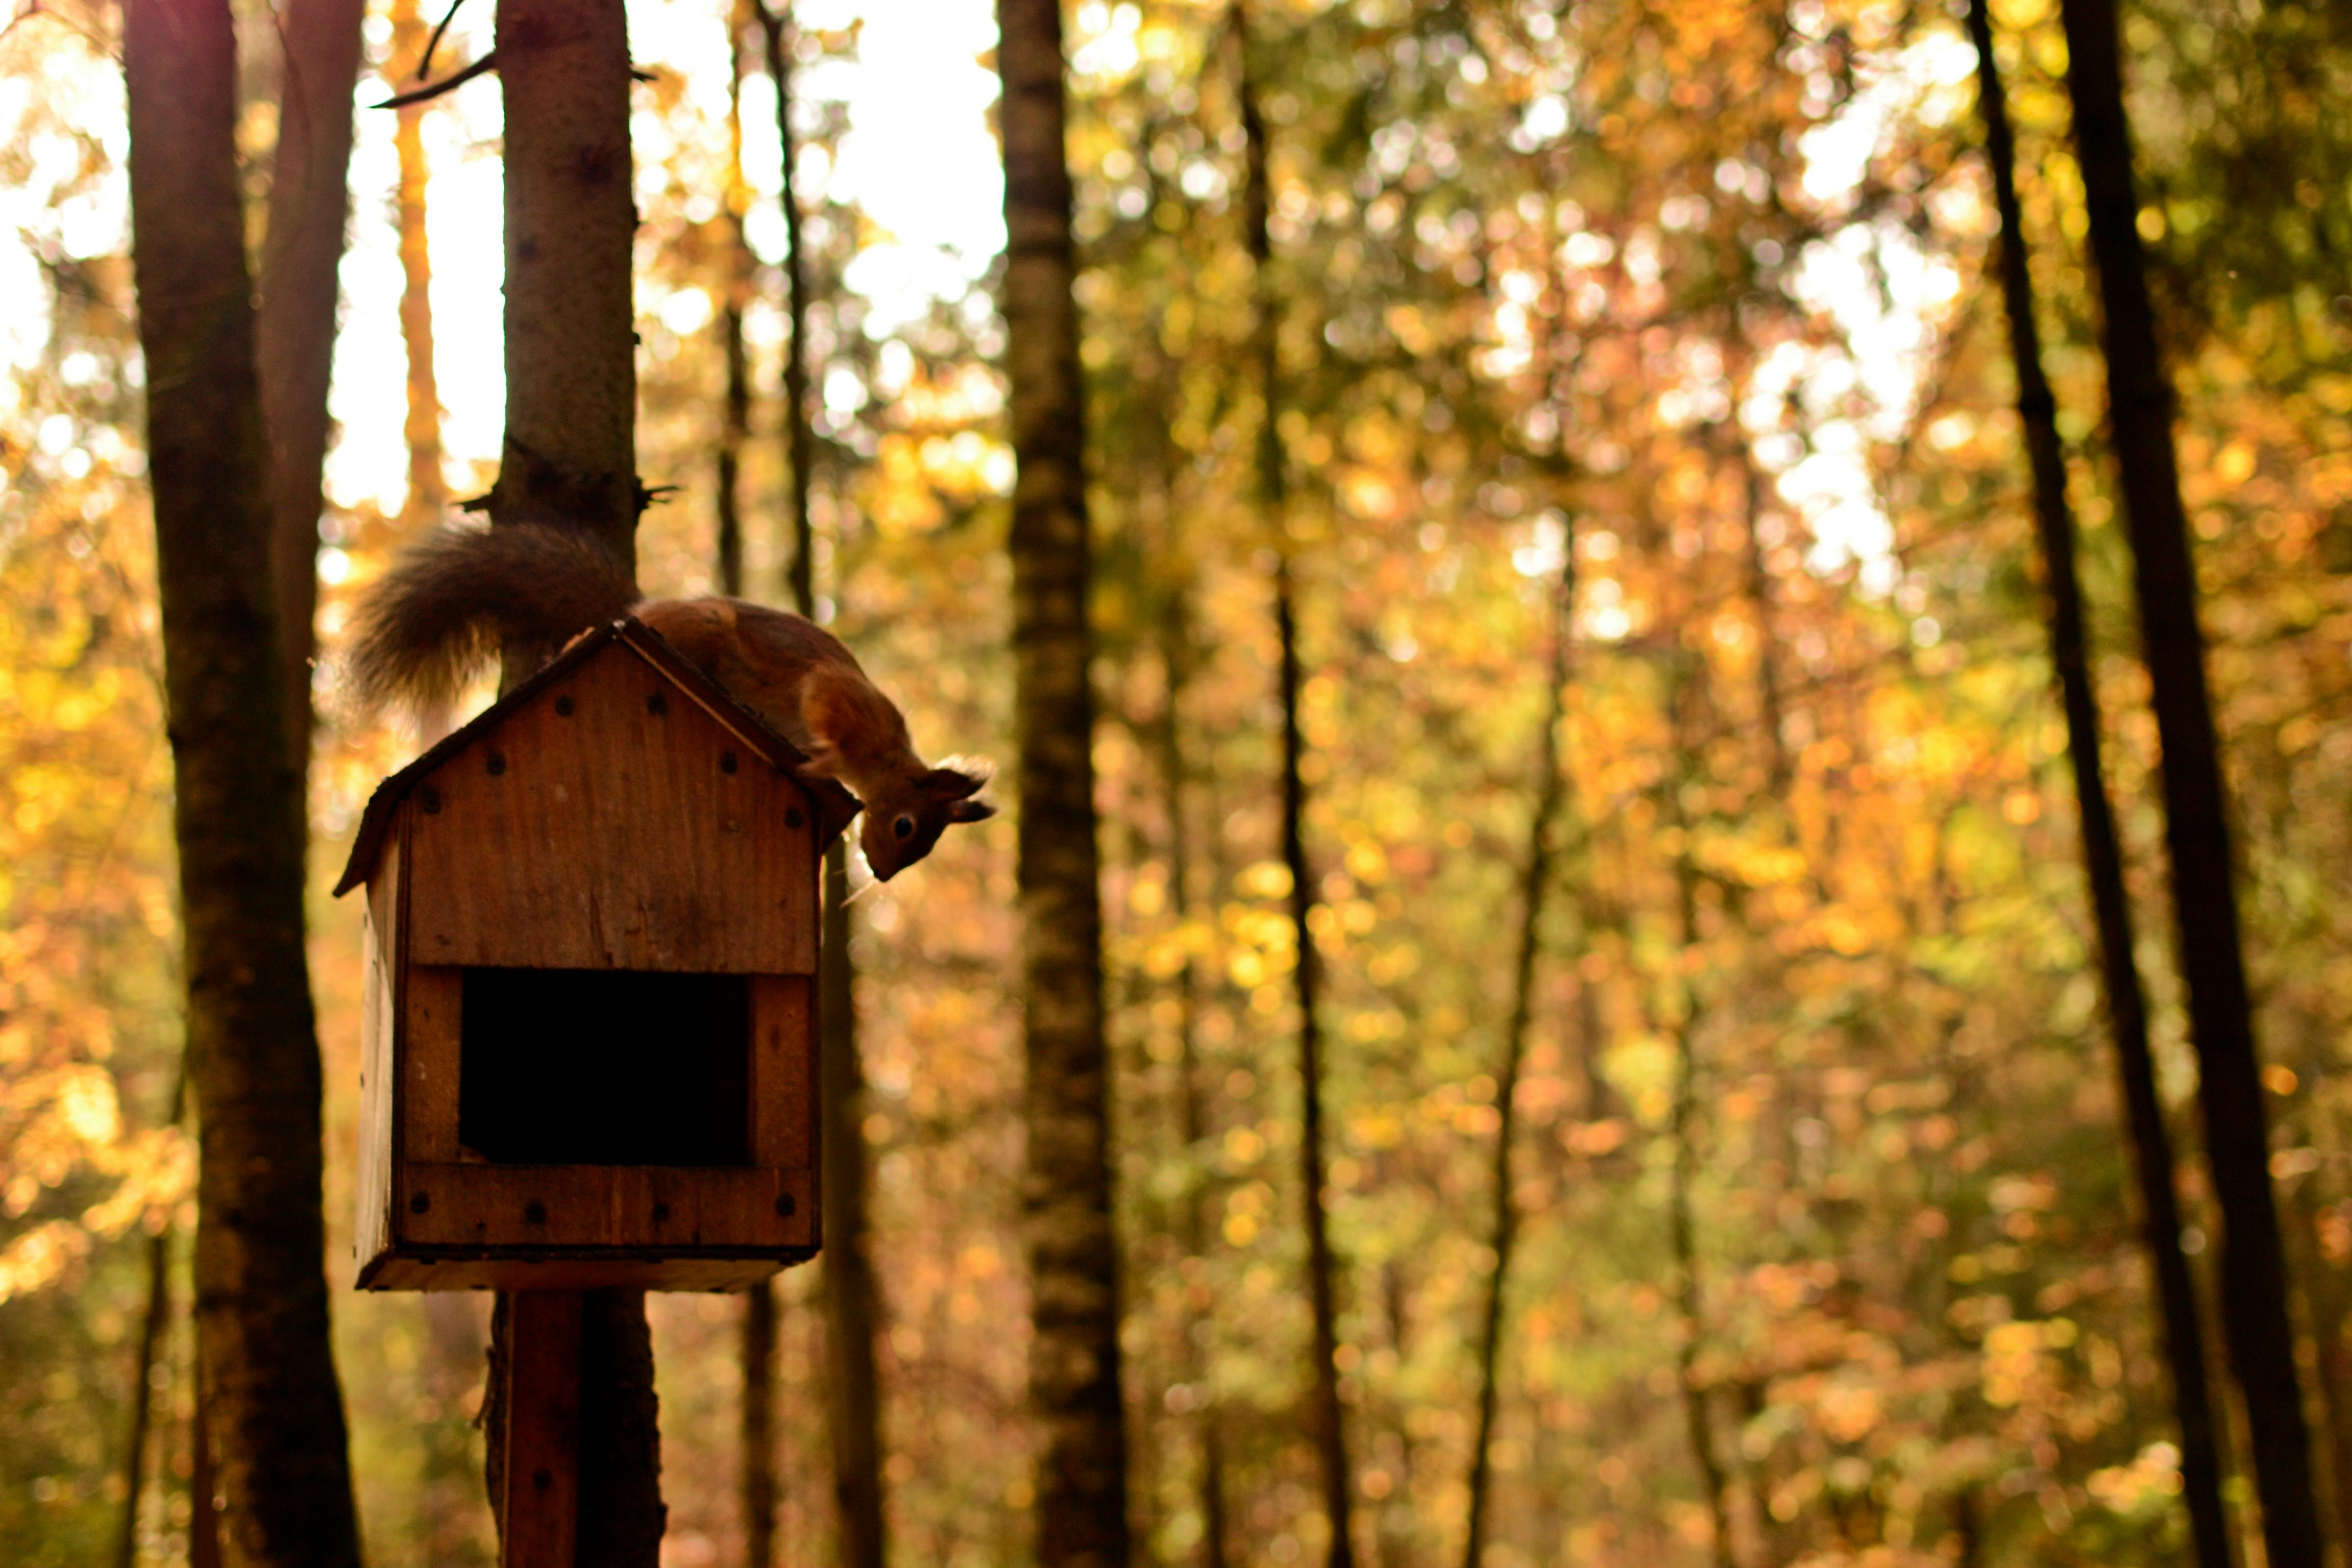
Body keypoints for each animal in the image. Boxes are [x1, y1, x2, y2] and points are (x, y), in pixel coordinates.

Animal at [342, 522, 993, 880]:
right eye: (907, 826)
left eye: (923, 846)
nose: (881, 875)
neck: (885, 756)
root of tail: (642, 610)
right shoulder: (842, 698)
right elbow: (821, 711)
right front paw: (821, 760)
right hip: (703, 629)